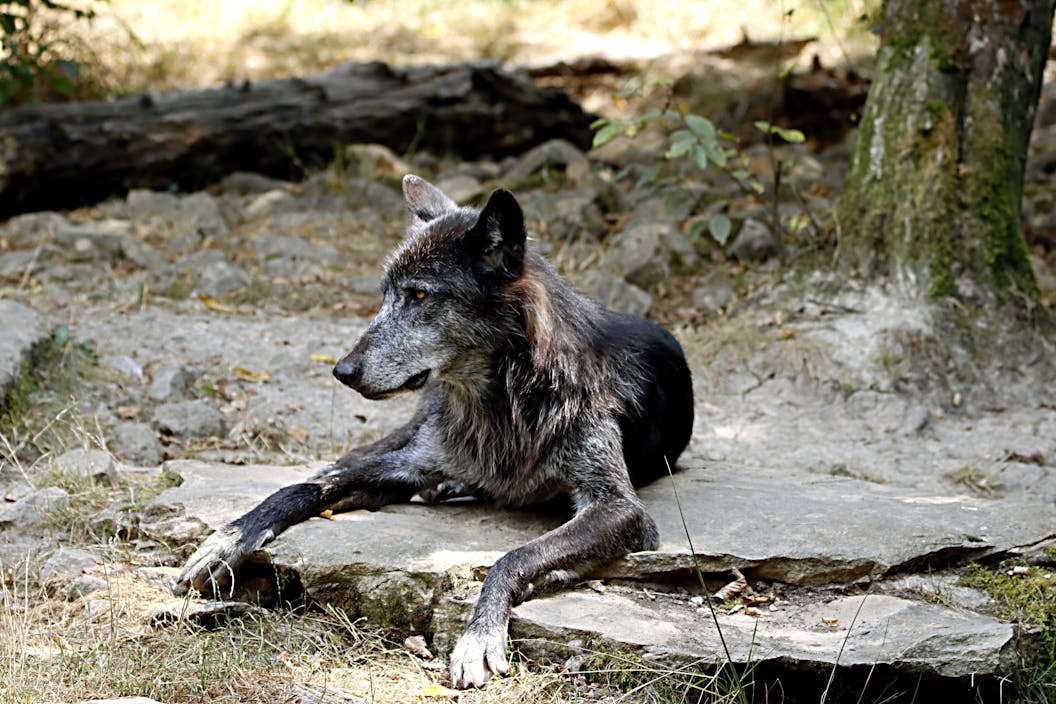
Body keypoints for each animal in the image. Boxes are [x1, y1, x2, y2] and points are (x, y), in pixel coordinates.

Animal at [175, 174, 694, 688]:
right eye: (384, 294)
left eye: (420, 295)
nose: (342, 370)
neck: (502, 405)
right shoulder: (412, 465)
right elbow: (300, 489)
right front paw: (227, 539)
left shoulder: (620, 508)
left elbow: (515, 556)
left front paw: (480, 635)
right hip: (419, 429)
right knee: (360, 456)